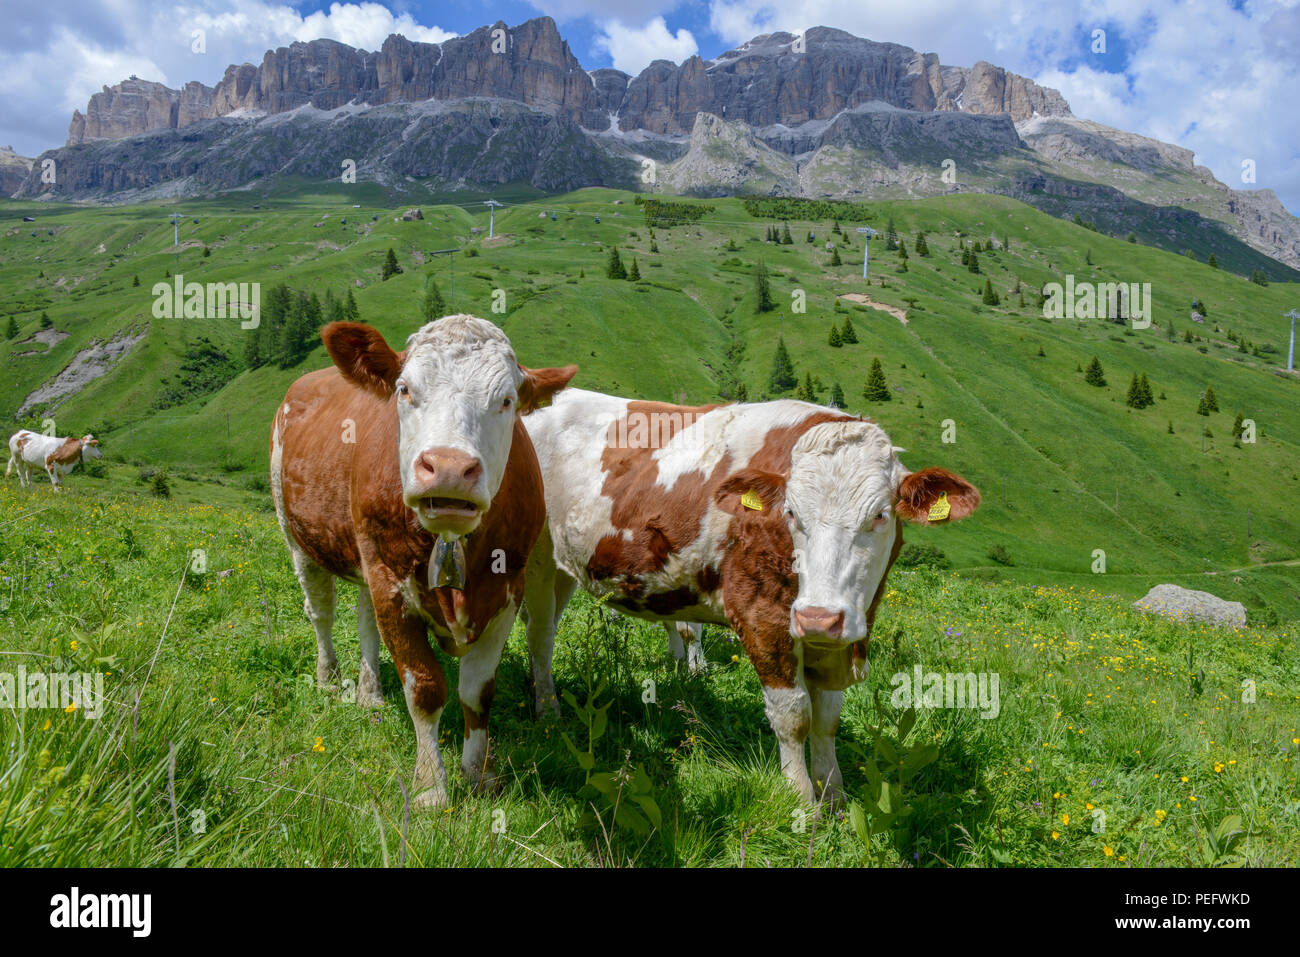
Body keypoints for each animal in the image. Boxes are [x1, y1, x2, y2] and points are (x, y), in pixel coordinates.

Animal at [270, 316, 576, 808]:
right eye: (405, 389)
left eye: (507, 400)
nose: (449, 468)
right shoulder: (391, 585)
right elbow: (425, 689)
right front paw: (431, 787)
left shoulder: (507, 591)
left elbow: (477, 691)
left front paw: (480, 775)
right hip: (299, 538)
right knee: (321, 614)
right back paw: (328, 679)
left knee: (364, 620)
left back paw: (370, 692)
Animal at [522, 389, 979, 805]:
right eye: (791, 513)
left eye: (880, 515)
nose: (818, 617)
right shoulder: (762, 617)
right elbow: (794, 716)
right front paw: (802, 804)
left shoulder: (832, 636)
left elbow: (827, 718)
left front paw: (834, 797)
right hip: (536, 558)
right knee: (541, 634)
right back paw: (548, 713)